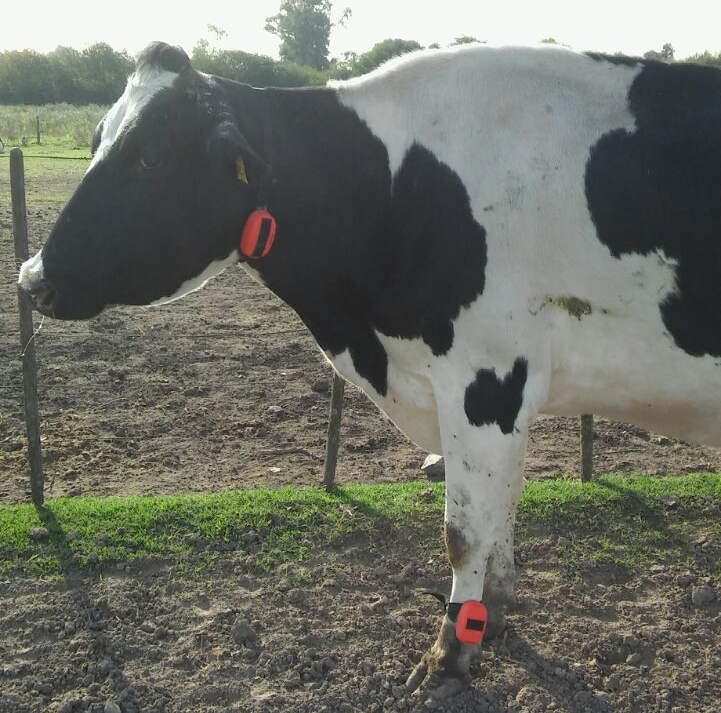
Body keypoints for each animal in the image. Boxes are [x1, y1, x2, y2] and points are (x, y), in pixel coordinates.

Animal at [18, 40, 721, 699]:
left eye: (152, 156)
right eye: (97, 140)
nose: (32, 280)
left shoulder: (485, 377)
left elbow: (465, 531)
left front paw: (449, 655)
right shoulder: (503, 393)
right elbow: (501, 509)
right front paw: (491, 614)